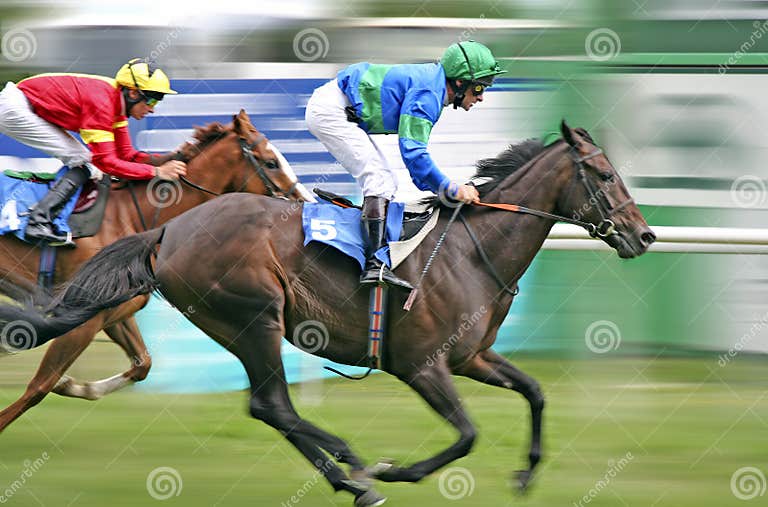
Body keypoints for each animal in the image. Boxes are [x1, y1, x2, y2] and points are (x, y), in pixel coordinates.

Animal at [0, 109, 314, 429]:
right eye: (271, 162)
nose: (305, 202)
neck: (129, 215)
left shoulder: (110, 310)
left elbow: (143, 364)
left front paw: (75, 385)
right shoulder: (82, 315)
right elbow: (40, 386)